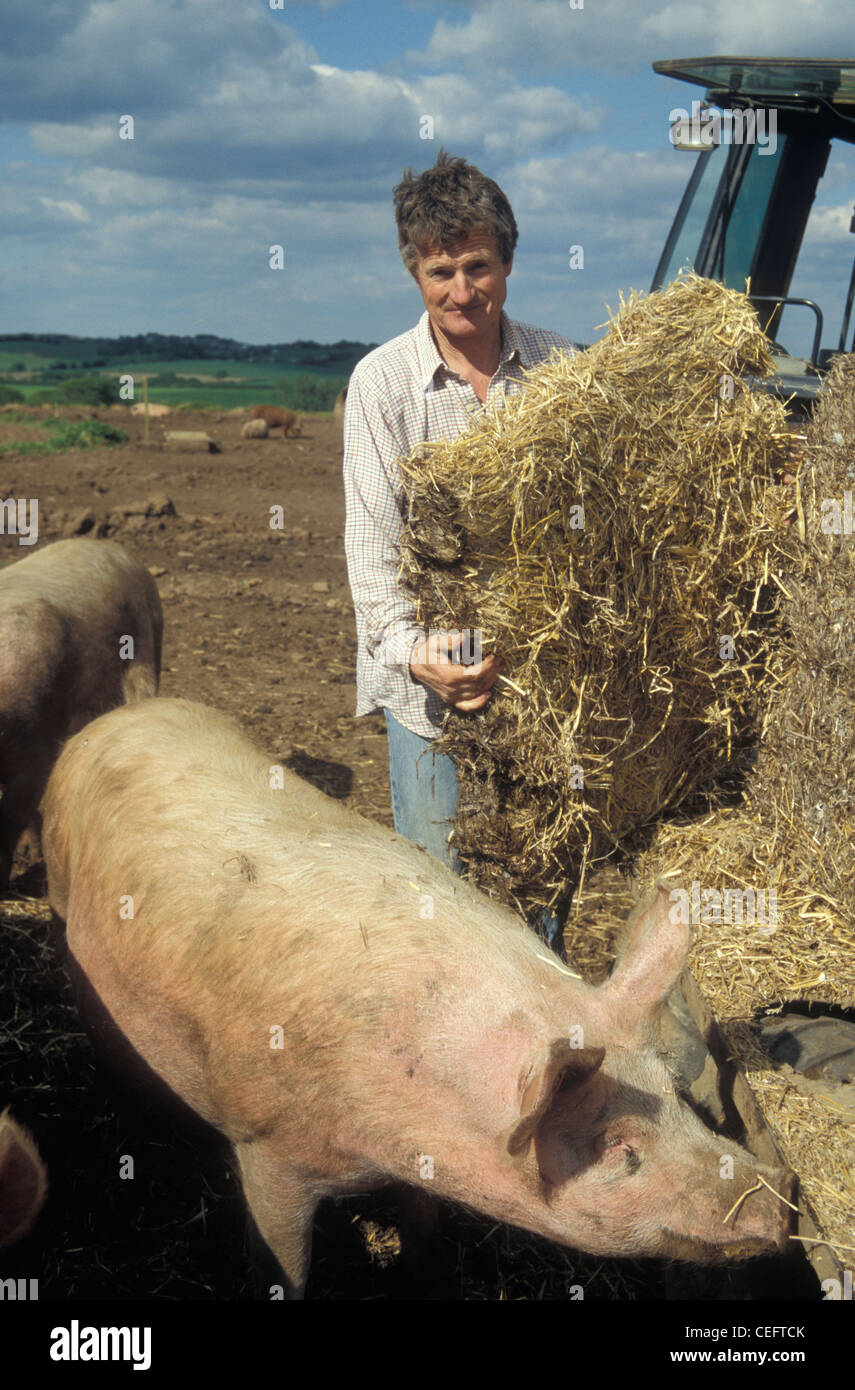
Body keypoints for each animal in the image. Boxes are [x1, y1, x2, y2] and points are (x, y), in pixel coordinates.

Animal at [41, 697, 795, 1298]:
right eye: (618, 1145)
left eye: (679, 1098)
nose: (778, 1198)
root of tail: (116, 716)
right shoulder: (264, 1147)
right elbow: (283, 1260)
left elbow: (425, 1227)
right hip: (59, 898)